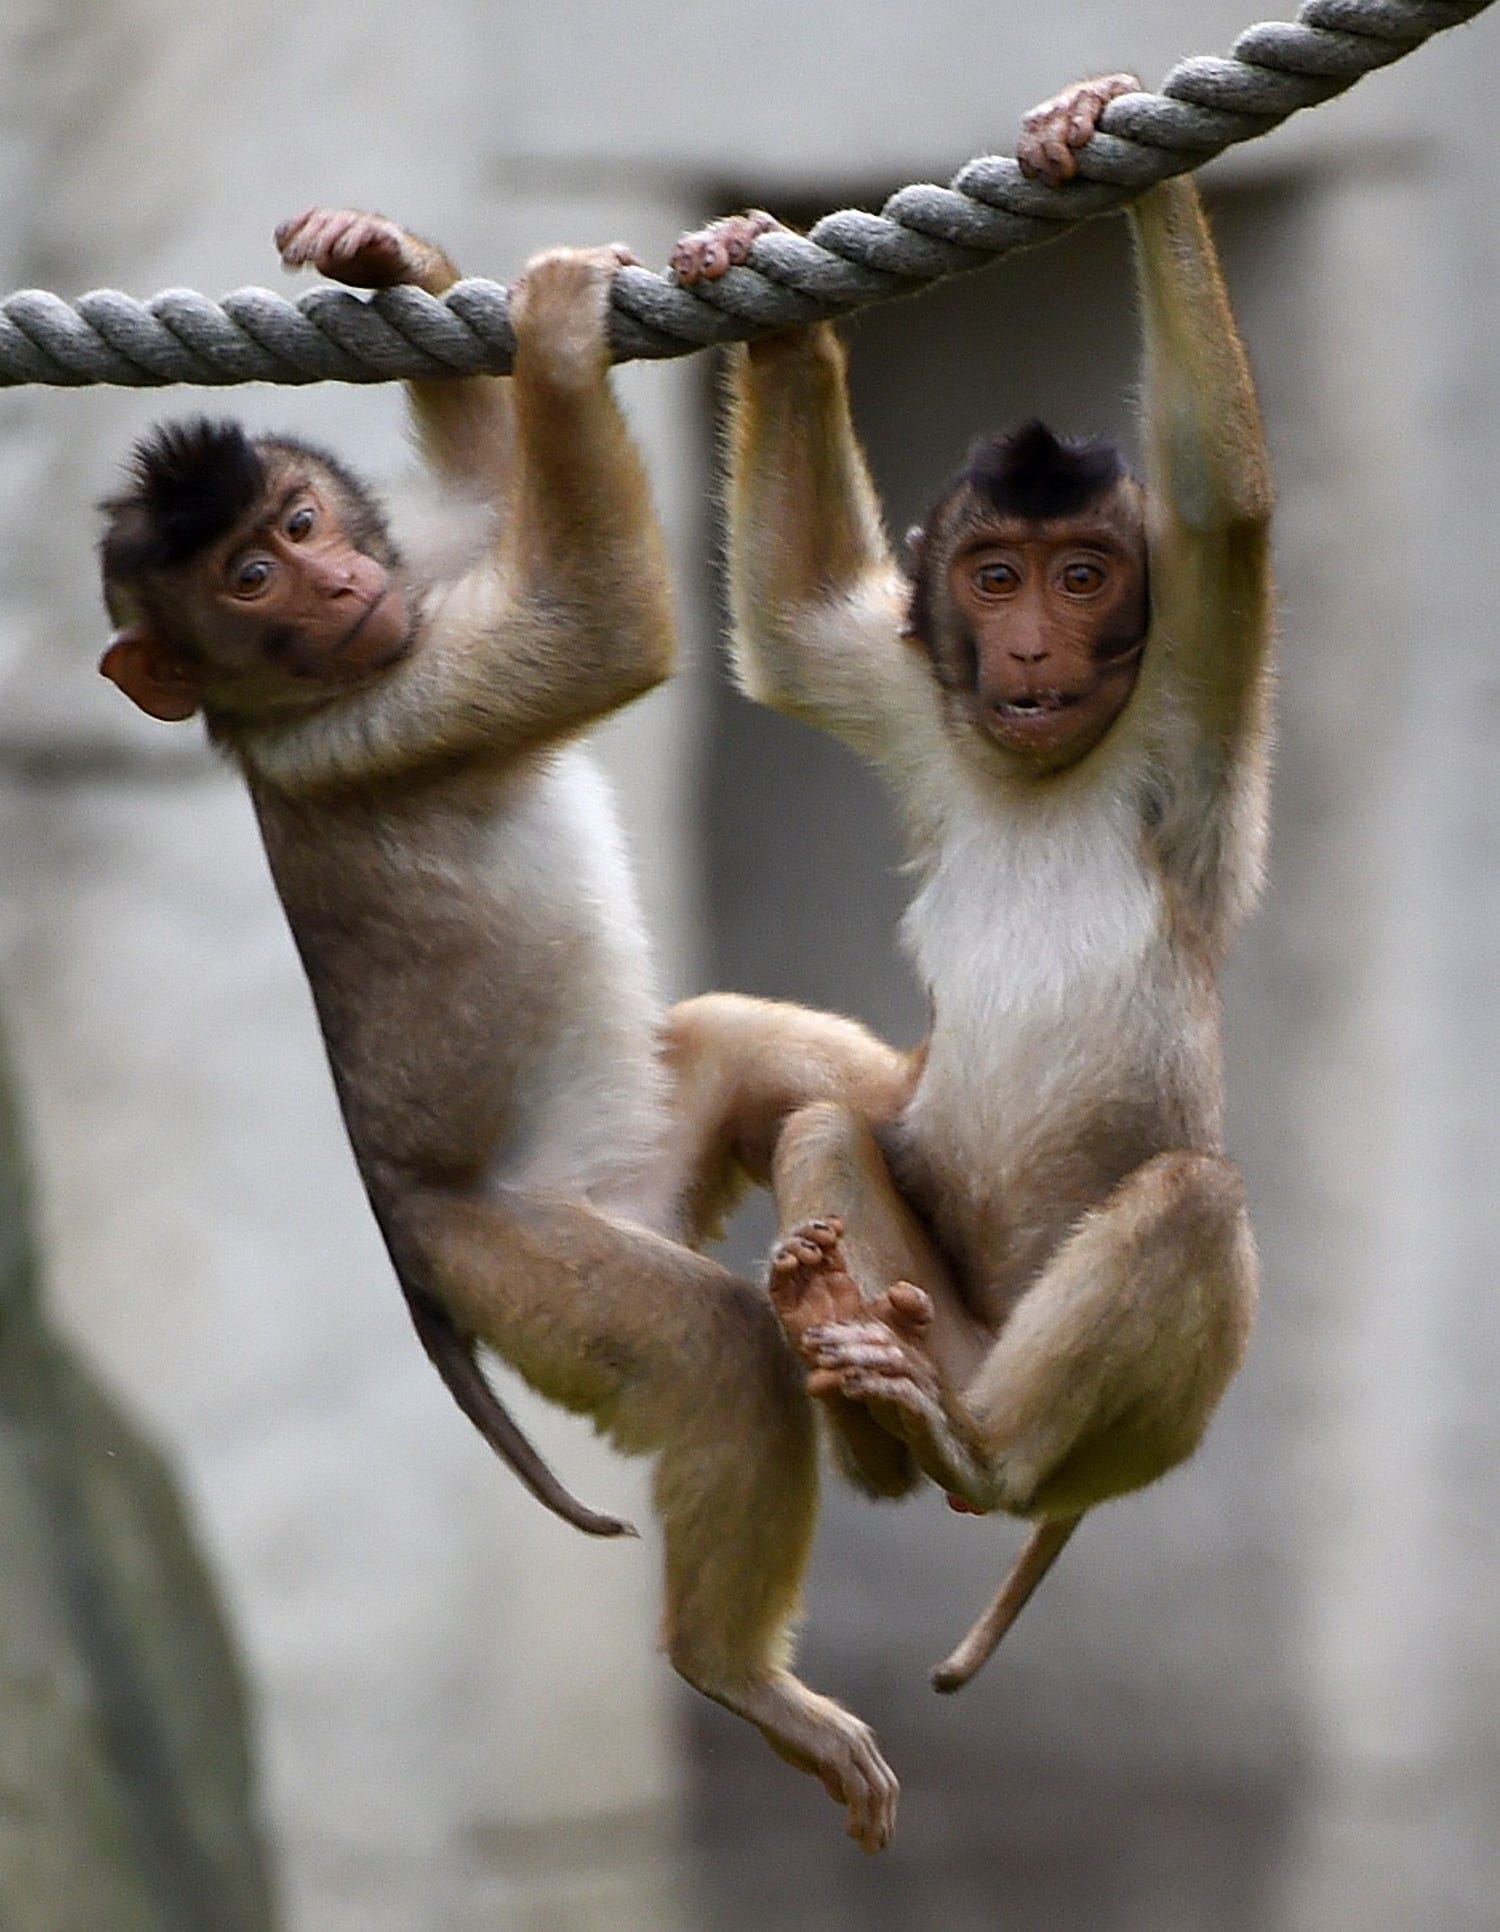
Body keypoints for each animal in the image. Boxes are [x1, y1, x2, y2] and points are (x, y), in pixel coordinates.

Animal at [96, 209, 898, 1848]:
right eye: (253, 574)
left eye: (304, 520)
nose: (337, 581)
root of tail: (417, 1255)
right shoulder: (365, 726)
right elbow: (592, 632)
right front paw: (560, 335)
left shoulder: (413, 620)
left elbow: (483, 504)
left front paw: (384, 260)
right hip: (530, 1268)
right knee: (710, 1347)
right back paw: (736, 1671)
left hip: (649, 1155)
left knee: (766, 1060)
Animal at [664, 74, 1272, 1688]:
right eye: (996, 578)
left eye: (1083, 575)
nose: (1035, 651)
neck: (1044, 770)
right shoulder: (928, 718)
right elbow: (796, 624)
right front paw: (756, 277)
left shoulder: (1185, 715)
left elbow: (1224, 507)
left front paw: (1117, 140)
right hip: (938, 1305)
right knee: (828, 1129)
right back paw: (863, 1392)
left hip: (1125, 1419)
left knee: (1187, 1201)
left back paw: (971, 1453)